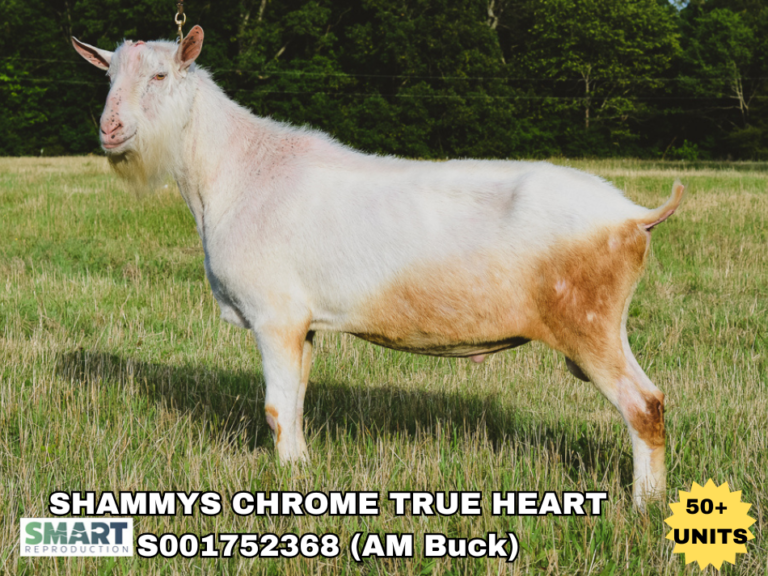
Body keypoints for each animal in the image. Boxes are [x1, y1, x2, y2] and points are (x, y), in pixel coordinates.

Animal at [73, 26, 683, 508]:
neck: (234, 172)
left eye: (158, 75)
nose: (110, 129)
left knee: (644, 404)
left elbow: (275, 408)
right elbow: (296, 403)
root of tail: (635, 216)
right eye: (108, 77)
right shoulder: (304, 324)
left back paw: (645, 505)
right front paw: (302, 469)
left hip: (588, 320)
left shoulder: (274, 314)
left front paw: (288, 481)